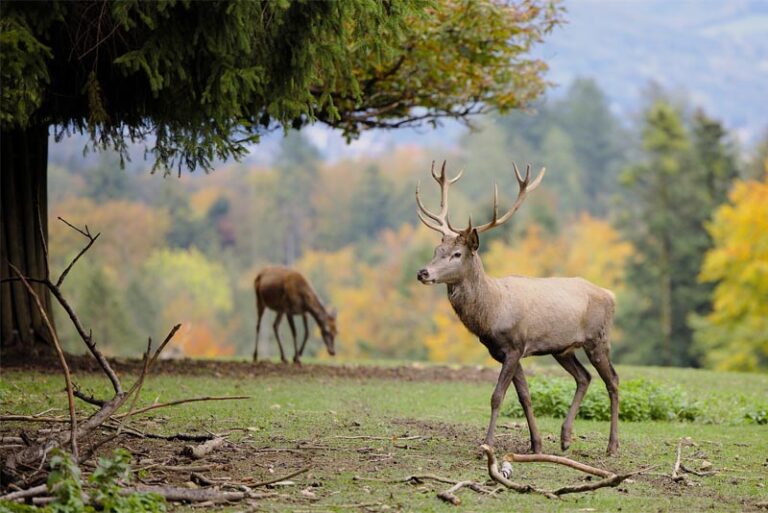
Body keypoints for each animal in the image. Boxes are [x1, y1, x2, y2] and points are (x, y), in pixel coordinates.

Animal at [415, 161, 619, 456]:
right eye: (436, 250)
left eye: (457, 254)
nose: (423, 272)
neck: (492, 312)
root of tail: (611, 295)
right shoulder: (505, 352)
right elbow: (524, 396)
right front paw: (536, 445)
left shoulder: (514, 345)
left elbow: (497, 396)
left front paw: (487, 444)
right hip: (562, 348)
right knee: (584, 377)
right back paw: (565, 438)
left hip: (598, 339)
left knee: (612, 380)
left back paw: (612, 445)